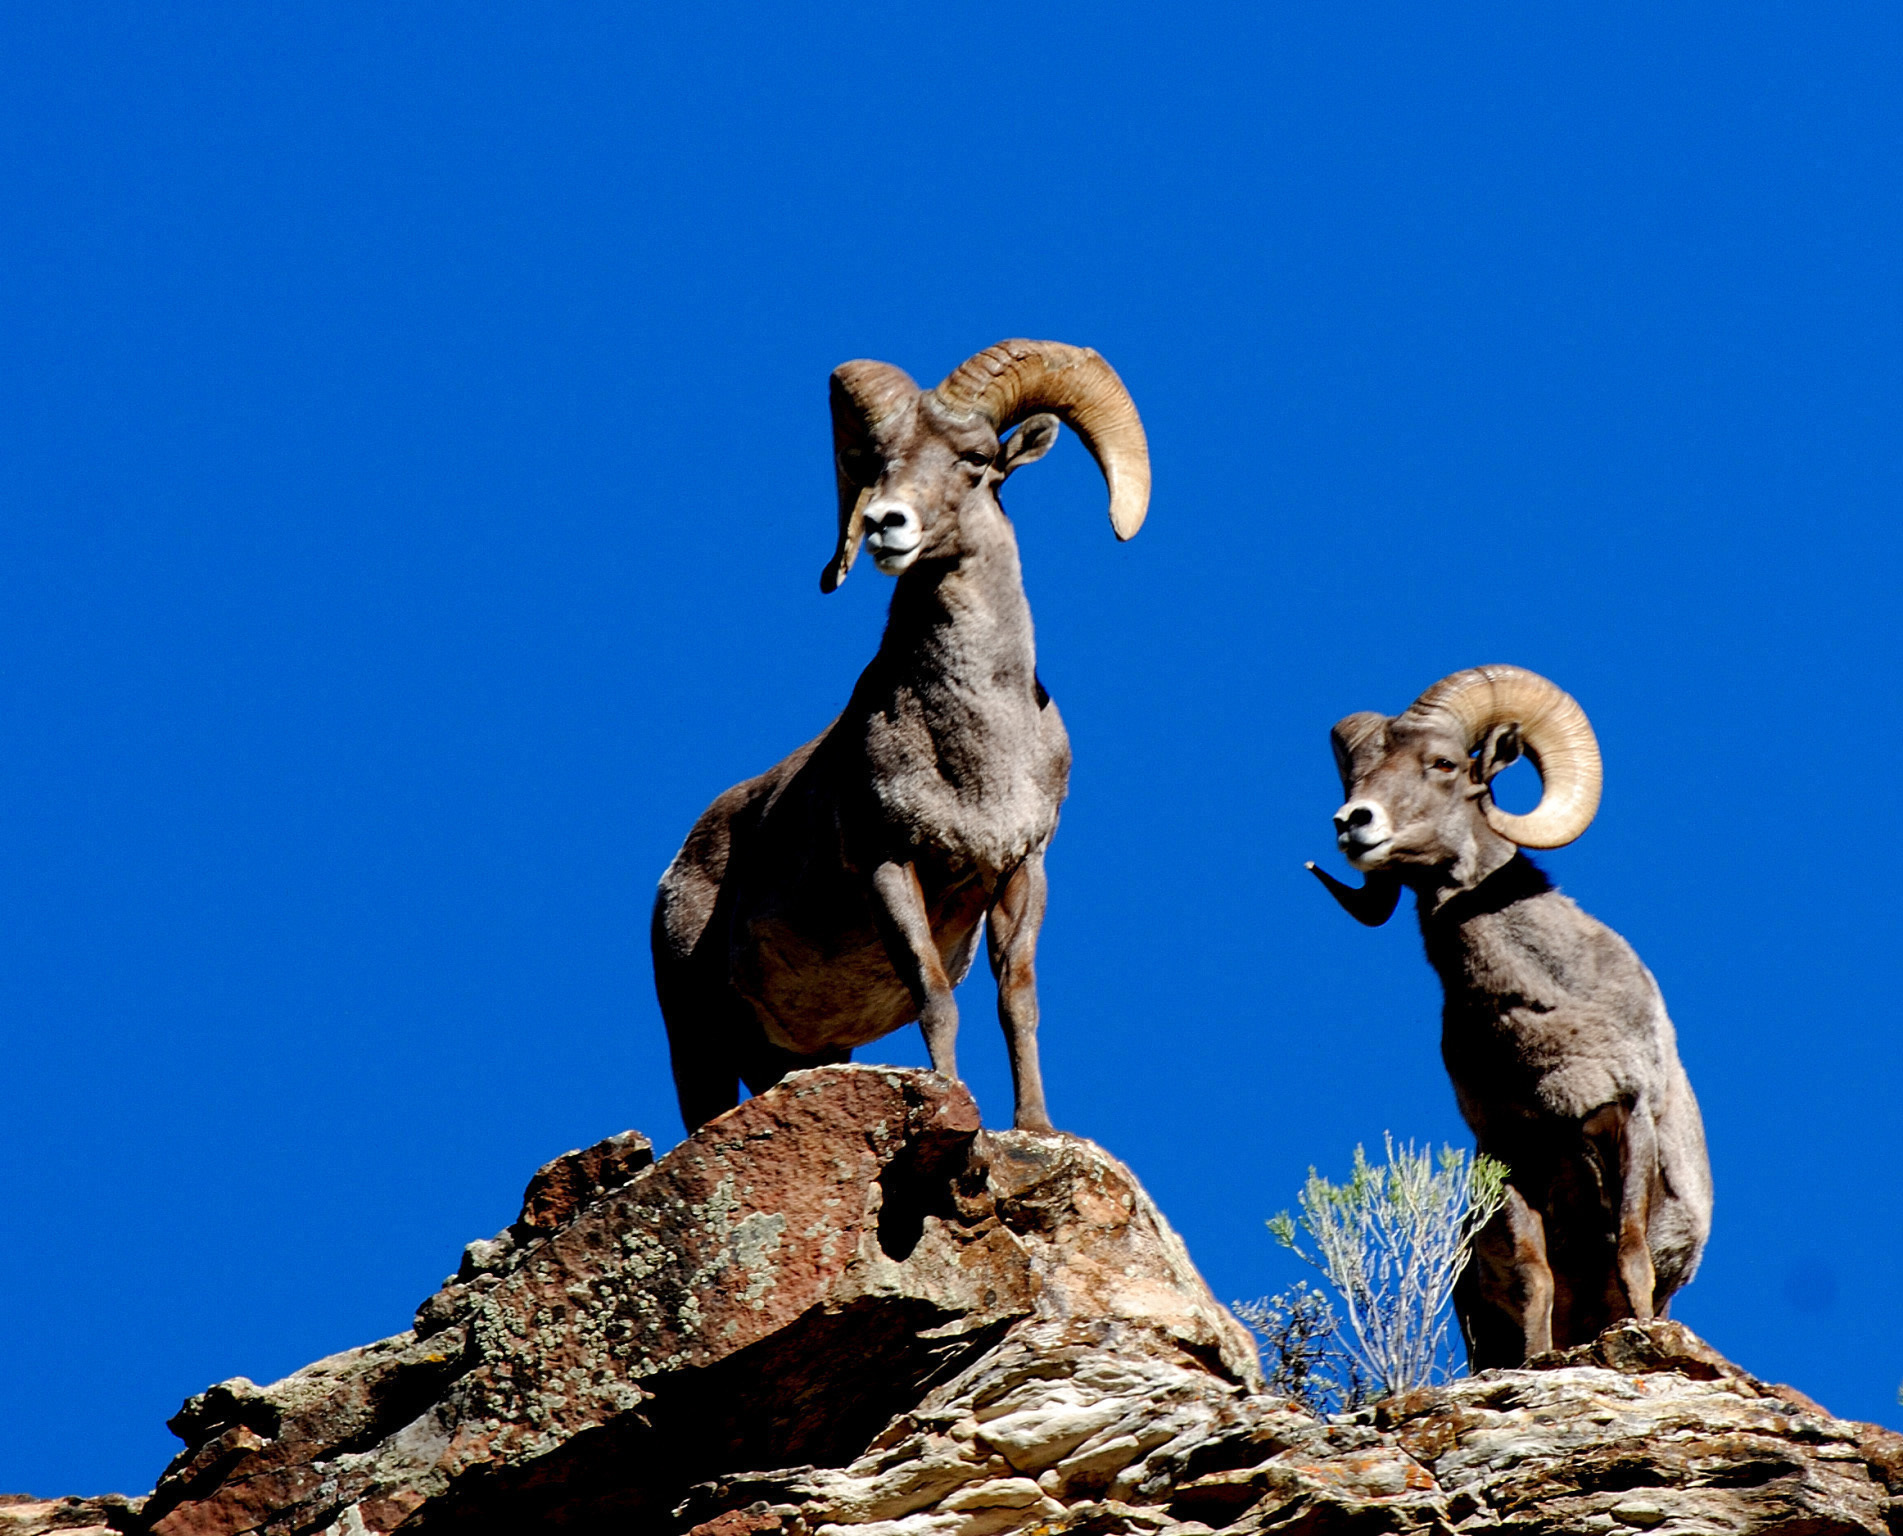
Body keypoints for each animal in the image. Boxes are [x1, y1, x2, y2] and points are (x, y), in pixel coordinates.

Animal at [653, 340, 1150, 1134]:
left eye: (975, 459)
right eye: (879, 461)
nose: (888, 524)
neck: (978, 759)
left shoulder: (1022, 869)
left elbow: (1018, 1001)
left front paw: (1034, 1127)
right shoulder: (892, 862)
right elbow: (933, 998)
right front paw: (951, 1102)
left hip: (785, 1055)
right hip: (696, 1039)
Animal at [1307, 665, 1712, 1368]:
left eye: (1442, 763)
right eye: (1355, 778)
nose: (1352, 823)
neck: (1547, 1010)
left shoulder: (1628, 1119)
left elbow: (1630, 1251)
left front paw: (1637, 1336)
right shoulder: (1513, 1153)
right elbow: (1534, 1276)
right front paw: (1537, 1359)